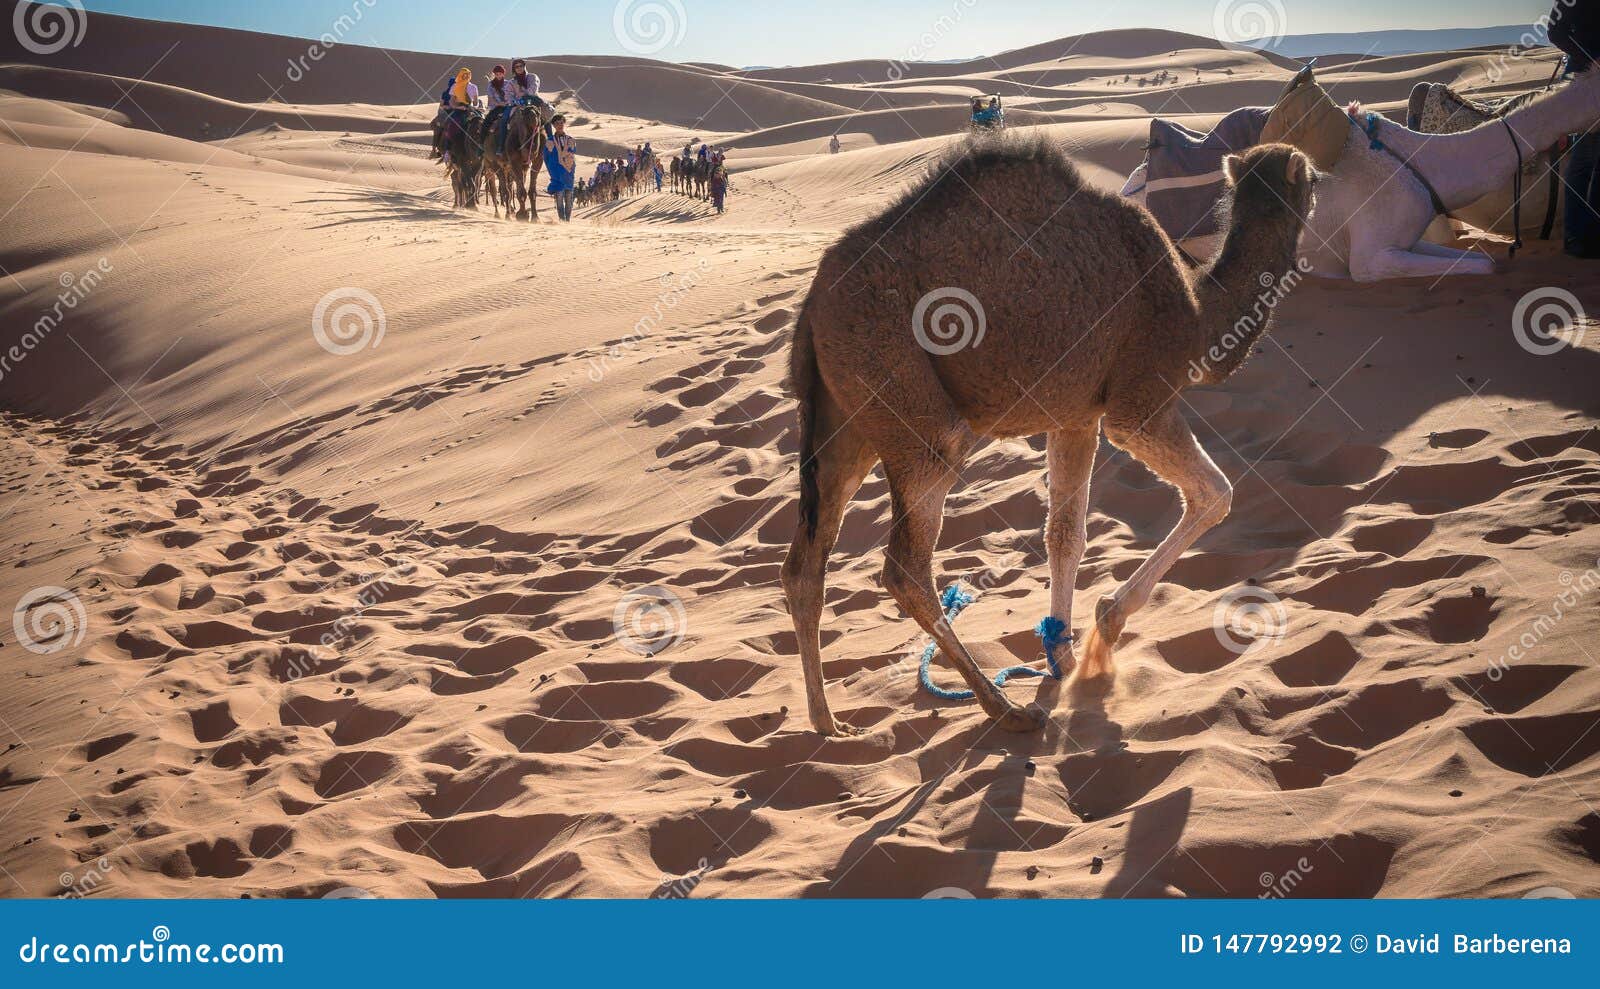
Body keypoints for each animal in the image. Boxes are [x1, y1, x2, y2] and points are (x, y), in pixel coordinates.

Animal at [782, 139, 1315, 735]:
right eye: (1315, 179)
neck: (1200, 312)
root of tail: (812, 308)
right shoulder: (1139, 397)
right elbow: (1216, 493)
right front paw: (1106, 624)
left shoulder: (1075, 413)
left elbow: (1065, 534)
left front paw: (1061, 654)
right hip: (903, 392)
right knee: (906, 564)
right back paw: (1003, 708)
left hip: (844, 418)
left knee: (804, 564)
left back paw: (828, 722)